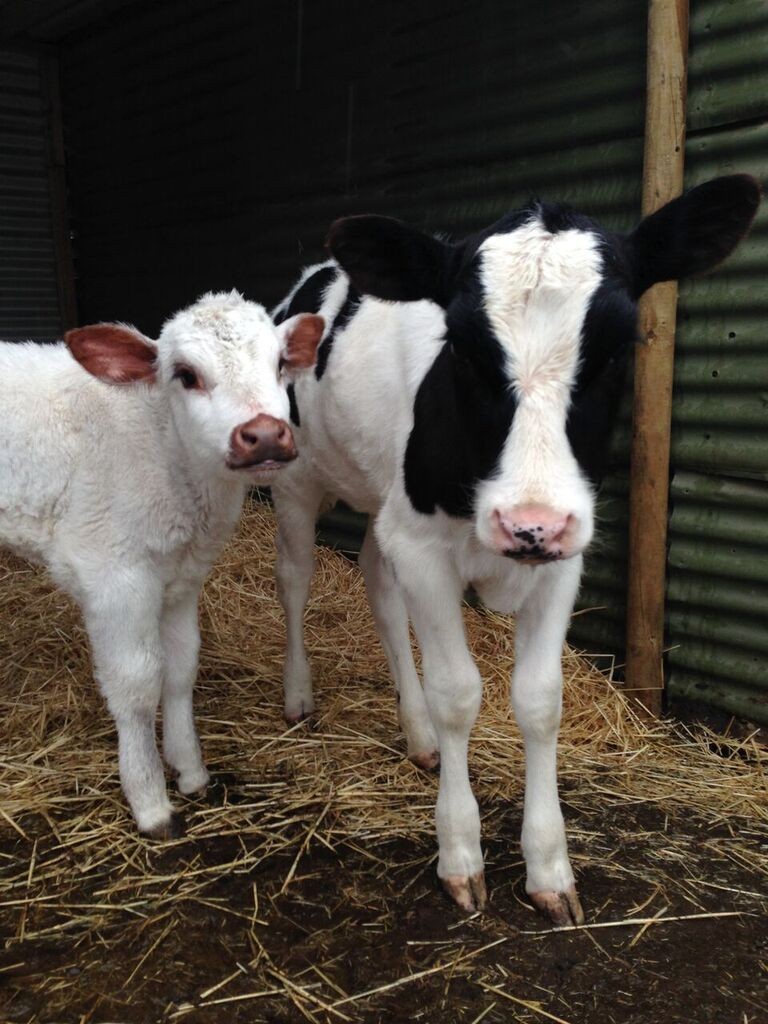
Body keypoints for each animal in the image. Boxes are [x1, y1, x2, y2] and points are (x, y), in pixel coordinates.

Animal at [0, 292, 323, 835]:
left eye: (280, 364)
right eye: (186, 375)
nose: (264, 435)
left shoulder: (183, 576)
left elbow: (181, 667)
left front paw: (190, 770)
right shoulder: (114, 575)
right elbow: (136, 684)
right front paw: (150, 801)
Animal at [269, 175, 760, 922]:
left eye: (620, 344)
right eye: (462, 346)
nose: (530, 524)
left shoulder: (561, 559)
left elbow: (538, 700)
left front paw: (549, 866)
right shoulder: (424, 548)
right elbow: (456, 694)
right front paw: (461, 854)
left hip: (387, 507)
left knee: (379, 589)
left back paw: (417, 738)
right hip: (297, 481)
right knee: (296, 577)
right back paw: (299, 696)